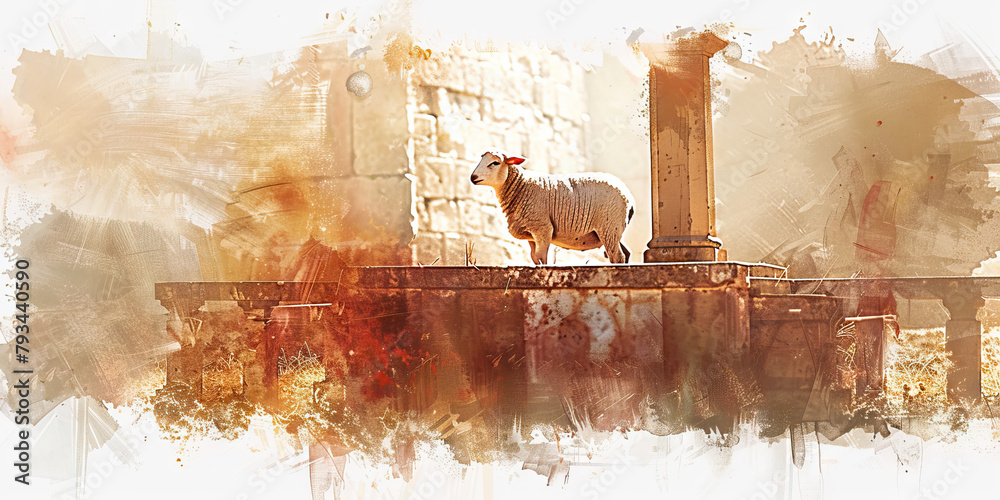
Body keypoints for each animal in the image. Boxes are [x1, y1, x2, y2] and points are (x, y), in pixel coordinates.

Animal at [470, 149, 636, 265]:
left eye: (495, 163)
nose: (473, 177)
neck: (520, 186)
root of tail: (628, 196)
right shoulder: (531, 234)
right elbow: (535, 259)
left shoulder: (543, 228)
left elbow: (542, 258)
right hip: (613, 229)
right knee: (626, 253)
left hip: (609, 226)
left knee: (617, 256)